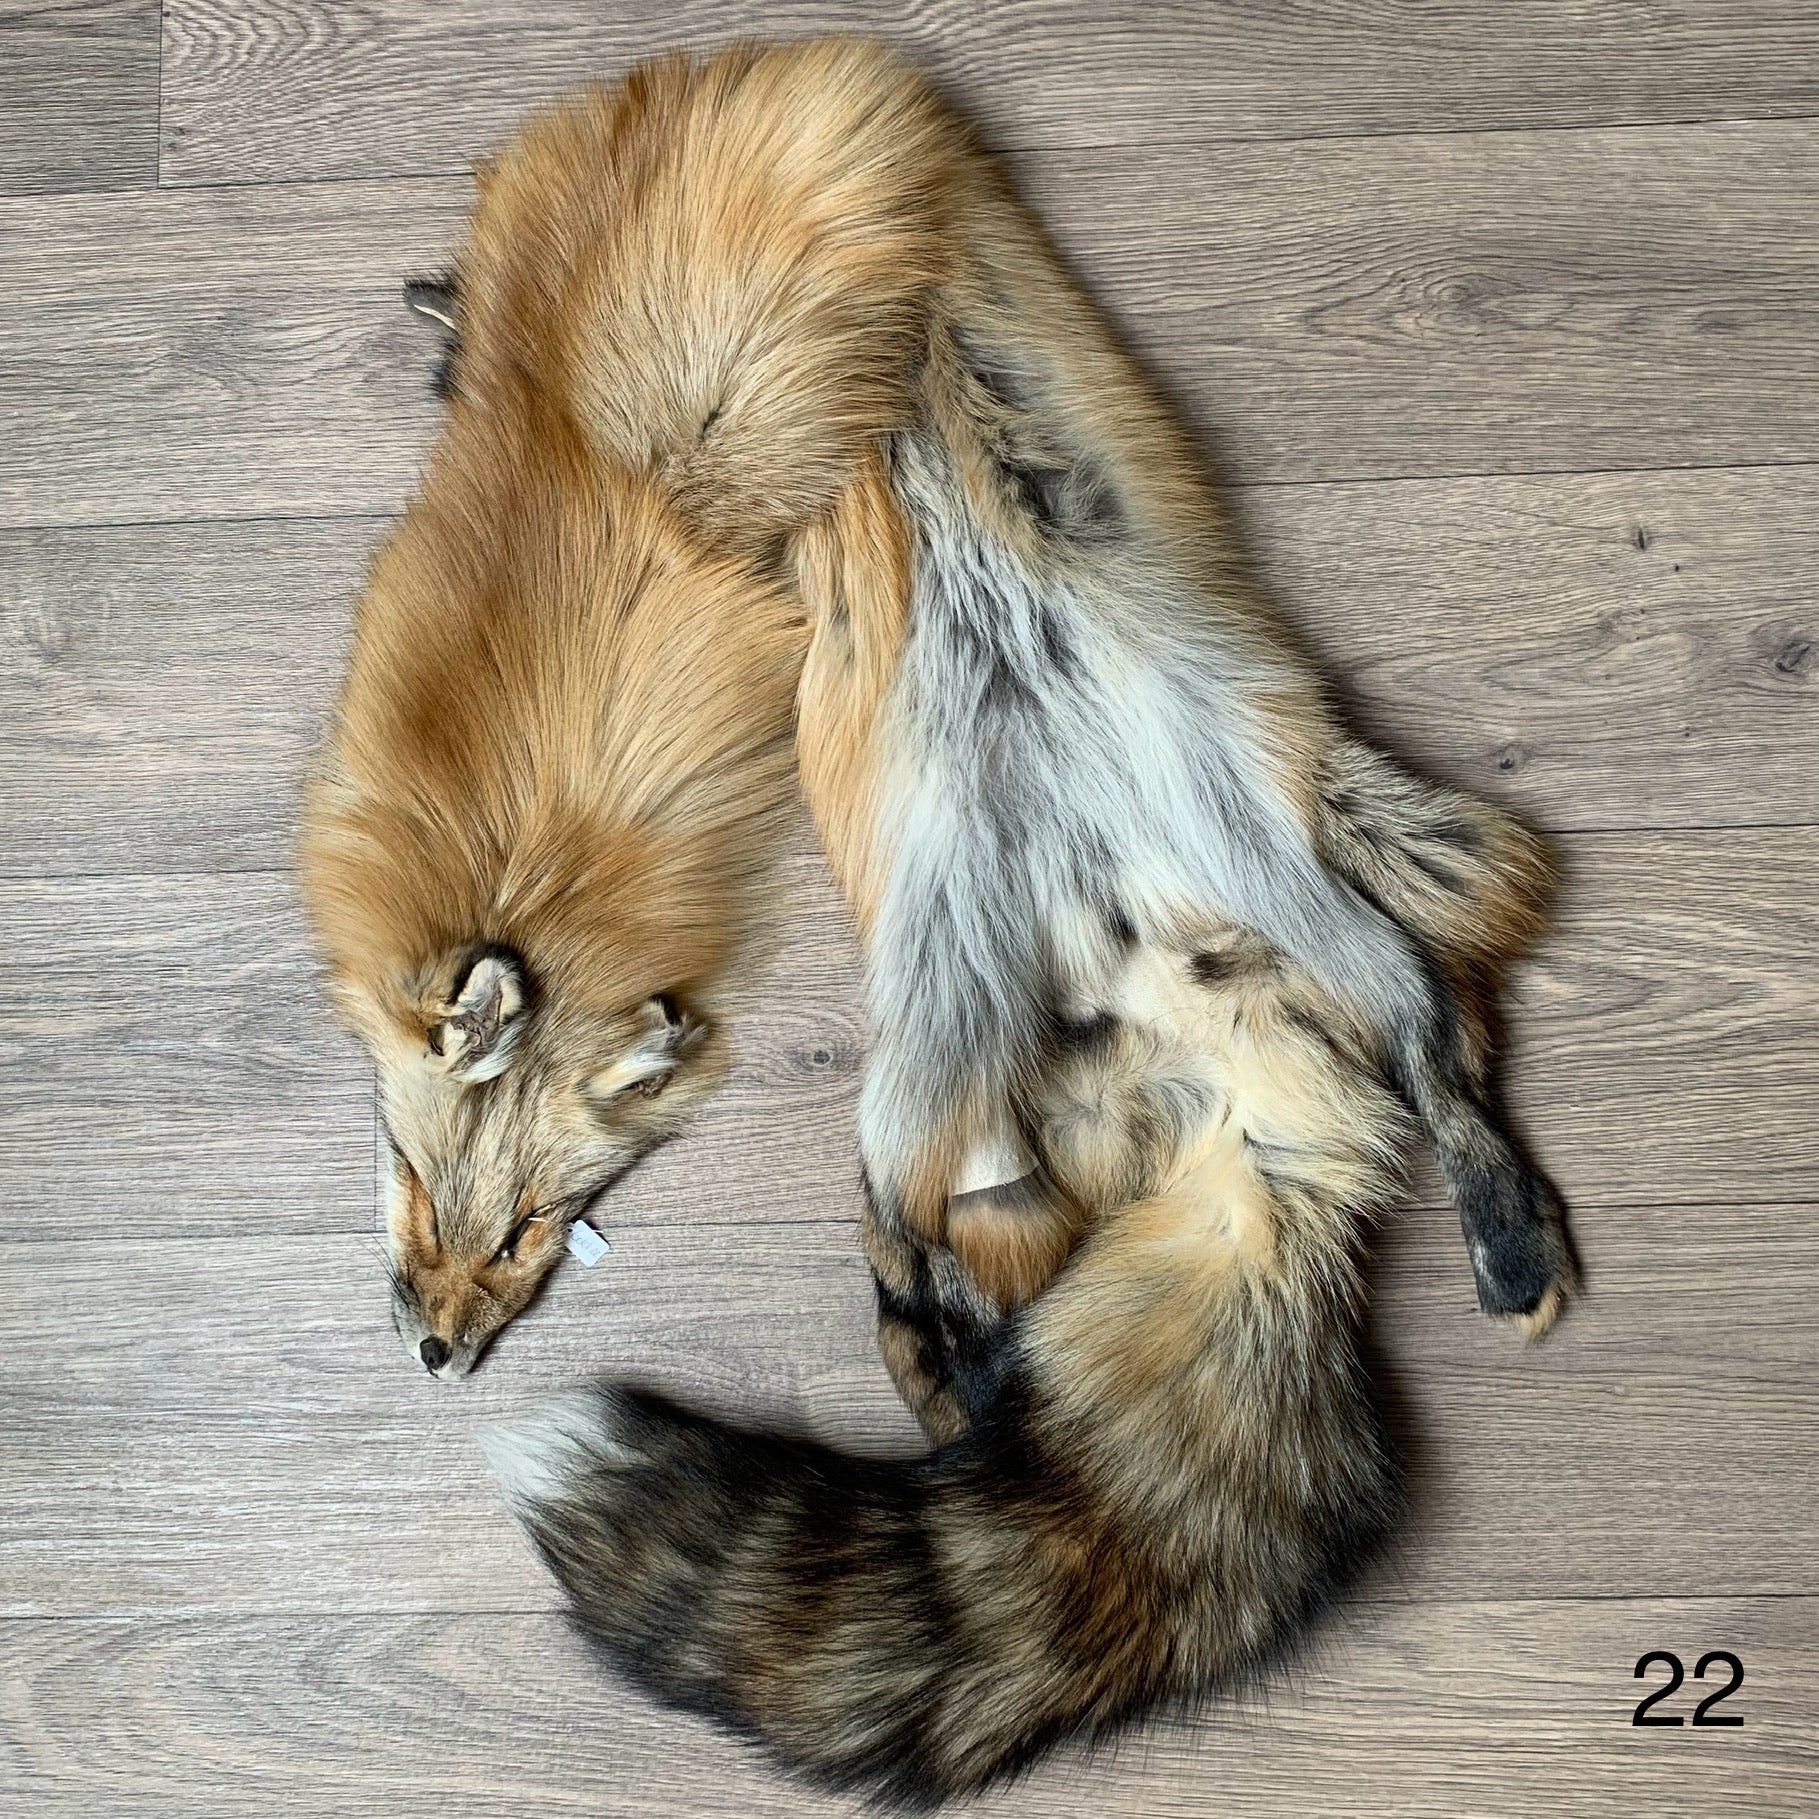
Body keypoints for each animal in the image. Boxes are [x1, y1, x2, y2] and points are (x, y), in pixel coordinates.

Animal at [483, 38, 1576, 1806]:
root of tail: (1210, 1049)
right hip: (997, 981)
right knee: (1008, 1196)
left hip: (1177, 890)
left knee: (941, 1208)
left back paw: (963, 1374)